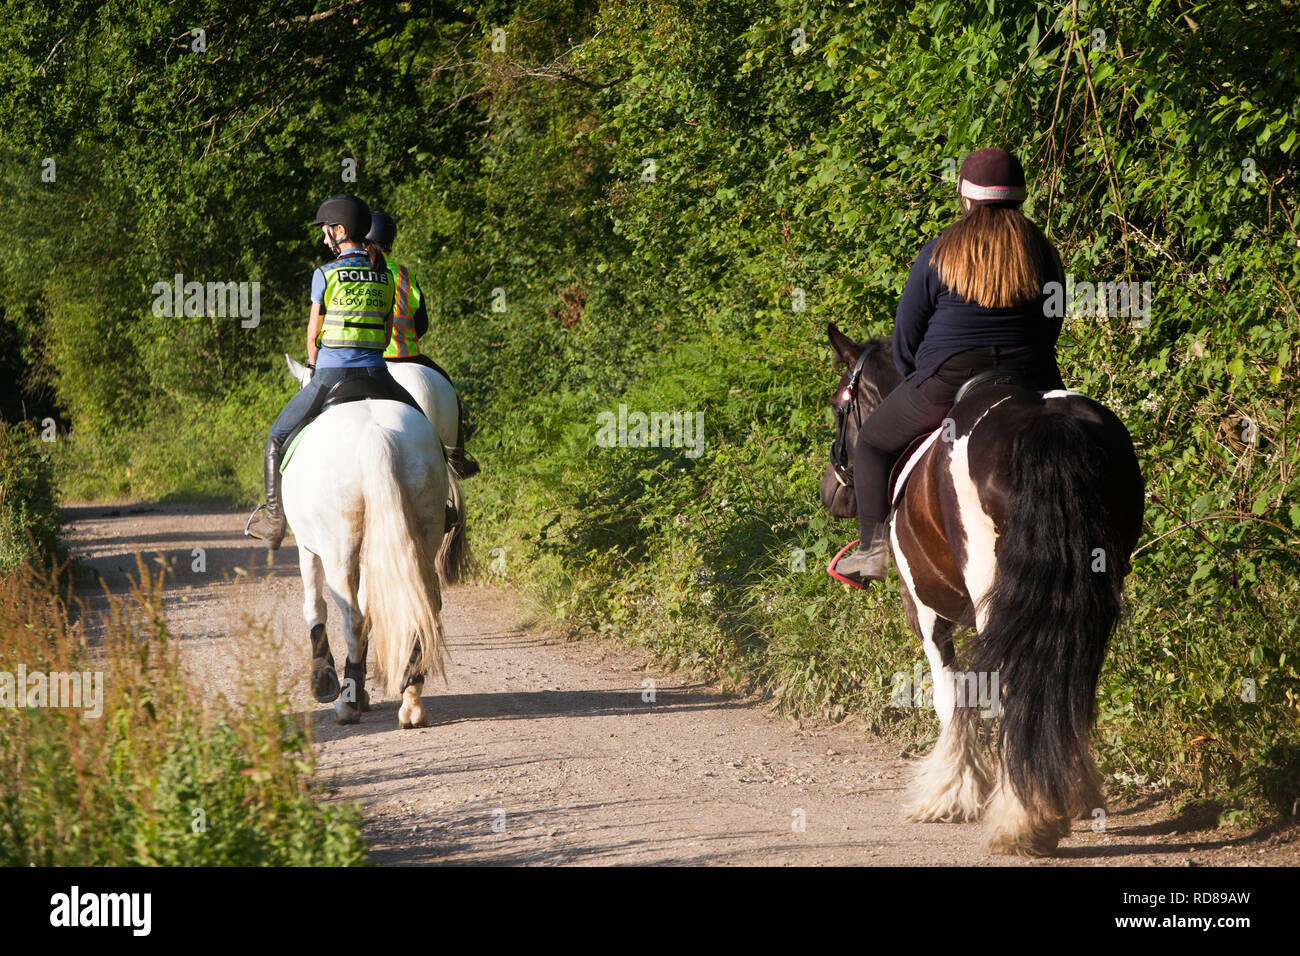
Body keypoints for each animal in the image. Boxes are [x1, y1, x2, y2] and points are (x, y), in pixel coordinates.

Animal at [280, 372, 465, 728]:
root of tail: (376, 435)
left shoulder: (306, 548)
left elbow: (315, 607)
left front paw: (326, 681)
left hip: (338, 551)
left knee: (352, 619)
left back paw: (348, 705)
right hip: (422, 532)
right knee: (421, 606)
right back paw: (411, 703)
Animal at [820, 324, 1144, 855]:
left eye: (837, 405)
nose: (831, 492)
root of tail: (1046, 424)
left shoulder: (926, 613)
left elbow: (949, 698)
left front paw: (951, 792)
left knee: (1016, 687)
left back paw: (1023, 818)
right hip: (1093, 588)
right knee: (1069, 680)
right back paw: (1059, 796)